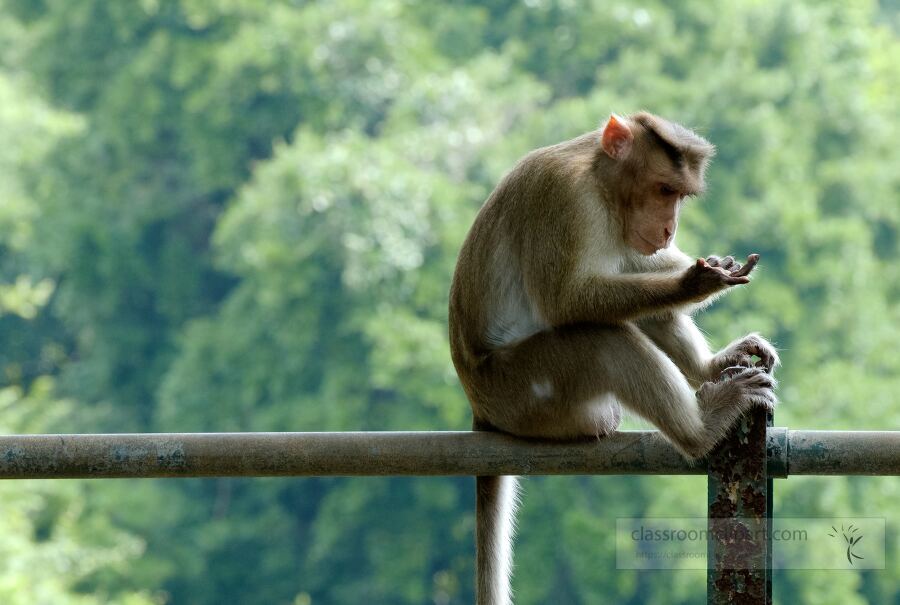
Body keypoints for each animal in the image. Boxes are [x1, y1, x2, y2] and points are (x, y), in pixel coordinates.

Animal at [448, 112, 779, 605]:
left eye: (680, 195)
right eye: (664, 190)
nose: (669, 229)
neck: (599, 182)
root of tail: (480, 405)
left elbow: (633, 278)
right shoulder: (567, 202)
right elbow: (566, 300)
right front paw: (694, 282)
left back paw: (711, 371)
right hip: (526, 393)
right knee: (604, 340)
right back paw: (701, 429)